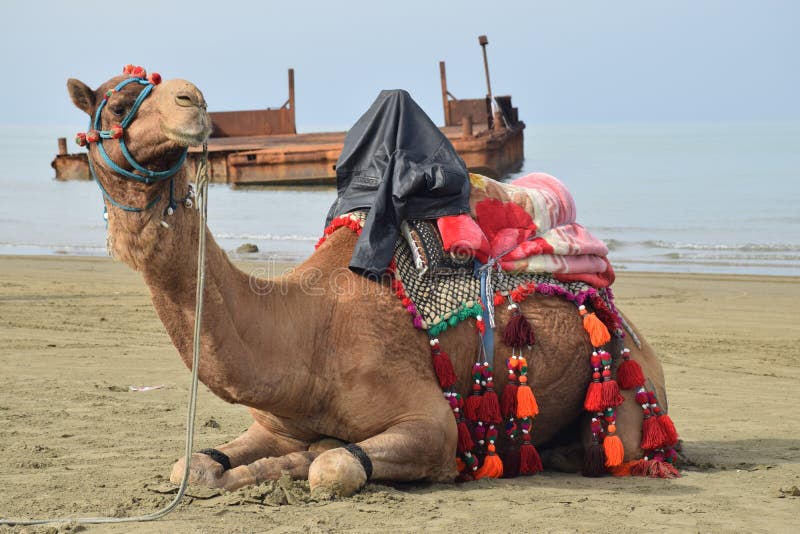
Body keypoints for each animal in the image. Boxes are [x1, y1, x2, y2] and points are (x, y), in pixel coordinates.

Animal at [66, 68, 674, 497]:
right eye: (116, 103)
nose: (191, 99)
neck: (307, 331)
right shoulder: (277, 423)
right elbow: (190, 467)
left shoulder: (432, 423)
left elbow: (333, 464)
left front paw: (312, 458)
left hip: (630, 384)